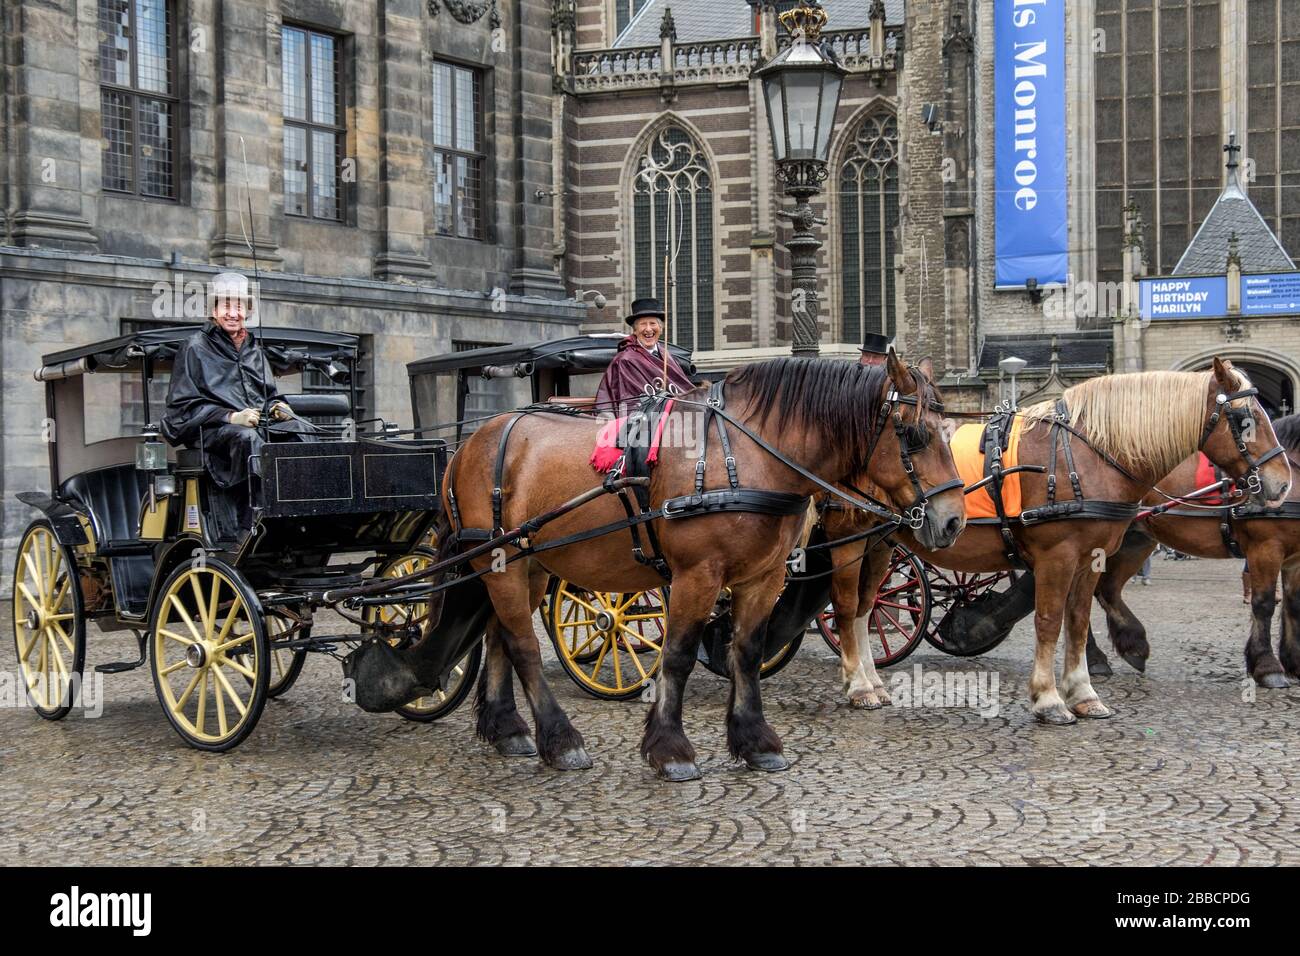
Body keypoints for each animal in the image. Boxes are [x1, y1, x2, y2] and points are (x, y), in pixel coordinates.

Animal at [434, 354, 966, 780]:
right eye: (914, 434)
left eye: (947, 432)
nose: (954, 520)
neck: (747, 454)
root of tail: (471, 441)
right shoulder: (698, 575)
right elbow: (678, 655)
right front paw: (670, 750)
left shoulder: (763, 577)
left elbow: (746, 653)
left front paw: (755, 741)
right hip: (501, 564)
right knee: (523, 645)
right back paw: (560, 739)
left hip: (528, 564)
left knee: (501, 636)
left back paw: (509, 730)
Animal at [1089, 413, 1300, 686]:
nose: (1280, 485)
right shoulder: (1265, 548)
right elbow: (1263, 604)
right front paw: (1267, 667)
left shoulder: (1294, 558)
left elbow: (1293, 604)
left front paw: (1294, 662)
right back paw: (1095, 657)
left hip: (1134, 541)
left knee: (1107, 589)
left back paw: (1133, 645)